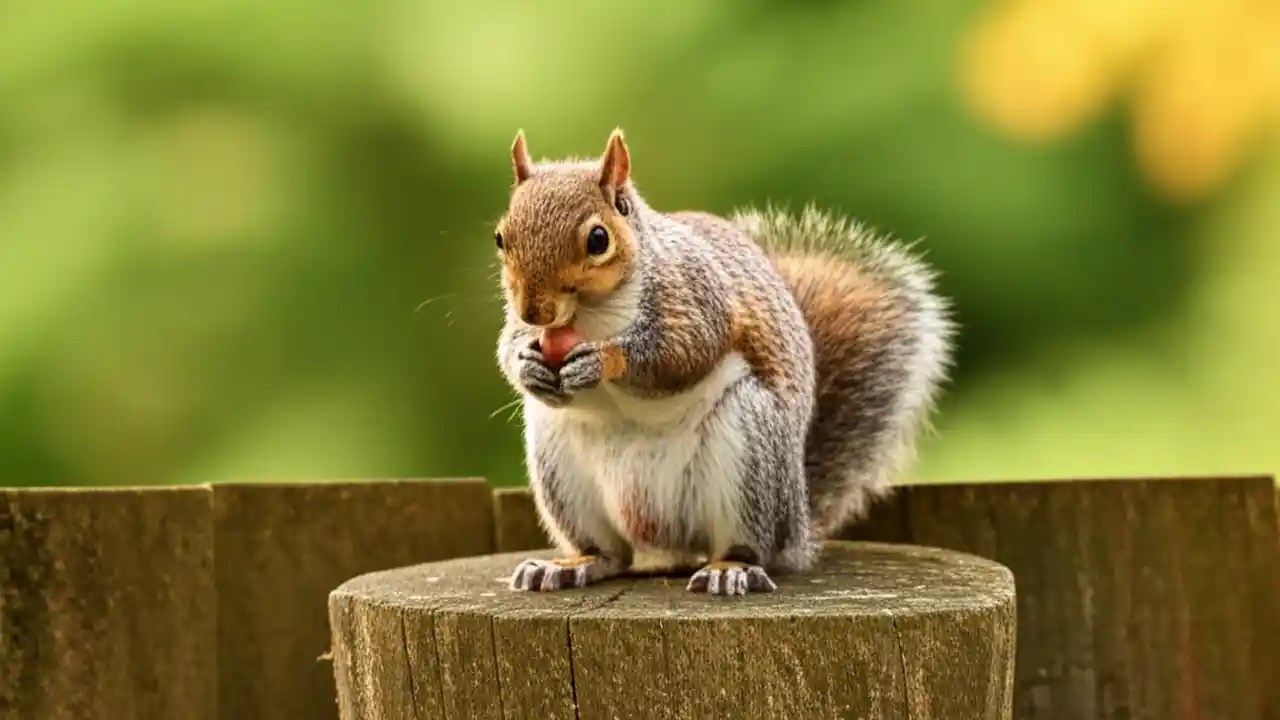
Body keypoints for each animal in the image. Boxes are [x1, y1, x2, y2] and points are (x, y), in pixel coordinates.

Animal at [494, 129, 953, 596]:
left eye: (598, 239)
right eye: (500, 238)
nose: (535, 312)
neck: (591, 312)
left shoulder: (694, 296)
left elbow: (683, 351)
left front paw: (601, 359)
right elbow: (506, 346)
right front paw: (527, 362)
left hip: (750, 452)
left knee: (748, 544)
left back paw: (730, 569)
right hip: (560, 465)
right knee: (611, 553)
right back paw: (572, 564)